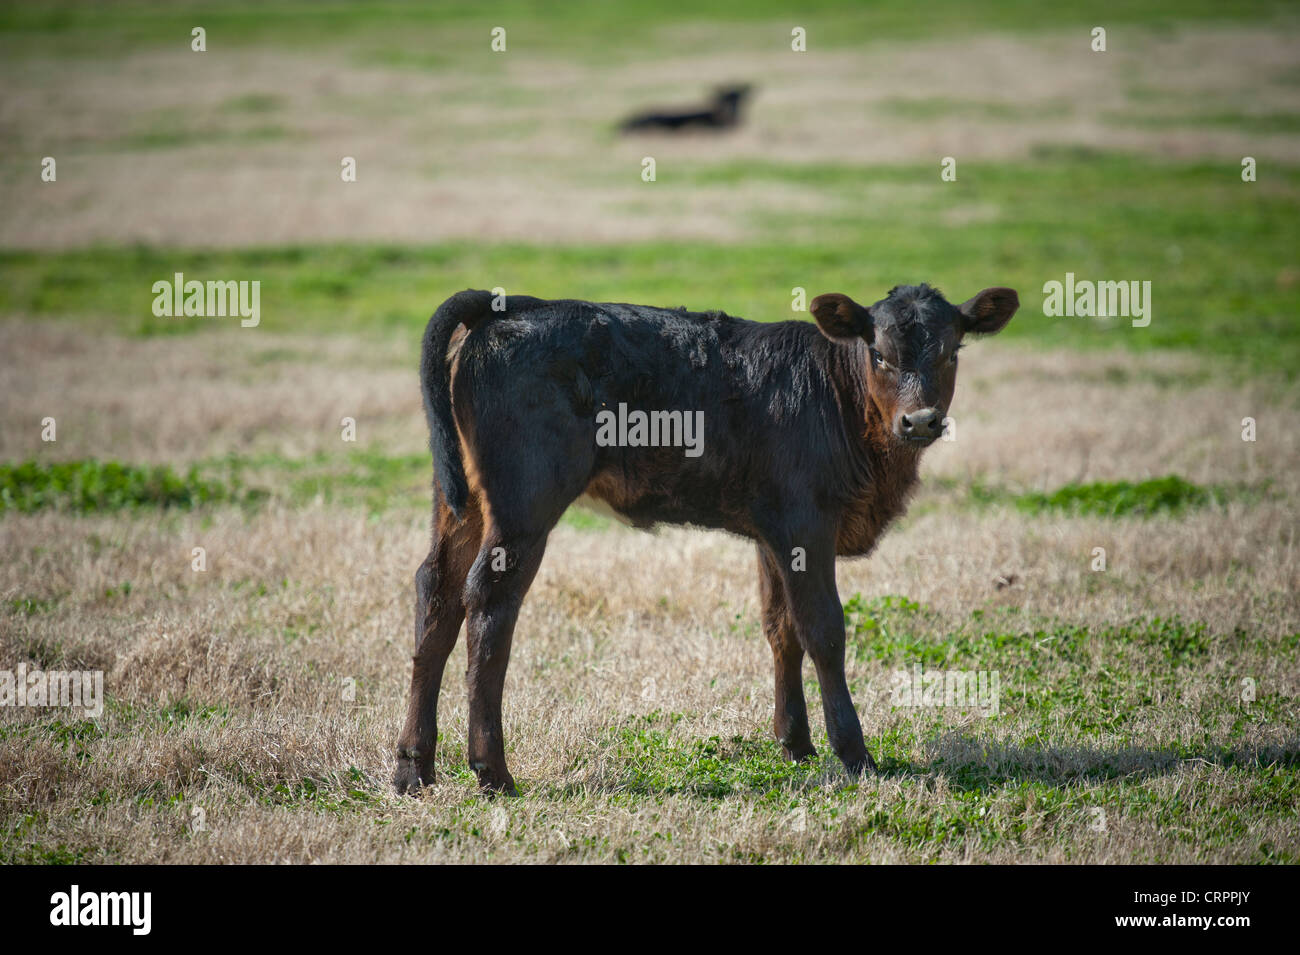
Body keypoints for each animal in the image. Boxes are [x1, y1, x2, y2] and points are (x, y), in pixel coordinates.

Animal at [394, 283, 1019, 795]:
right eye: (880, 354)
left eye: (951, 351)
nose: (921, 421)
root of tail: (513, 306)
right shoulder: (806, 523)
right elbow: (823, 631)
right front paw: (854, 754)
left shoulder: (773, 532)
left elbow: (780, 628)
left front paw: (796, 745)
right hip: (524, 501)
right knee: (490, 602)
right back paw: (492, 772)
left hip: (461, 501)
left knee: (438, 594)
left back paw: (413, 769)